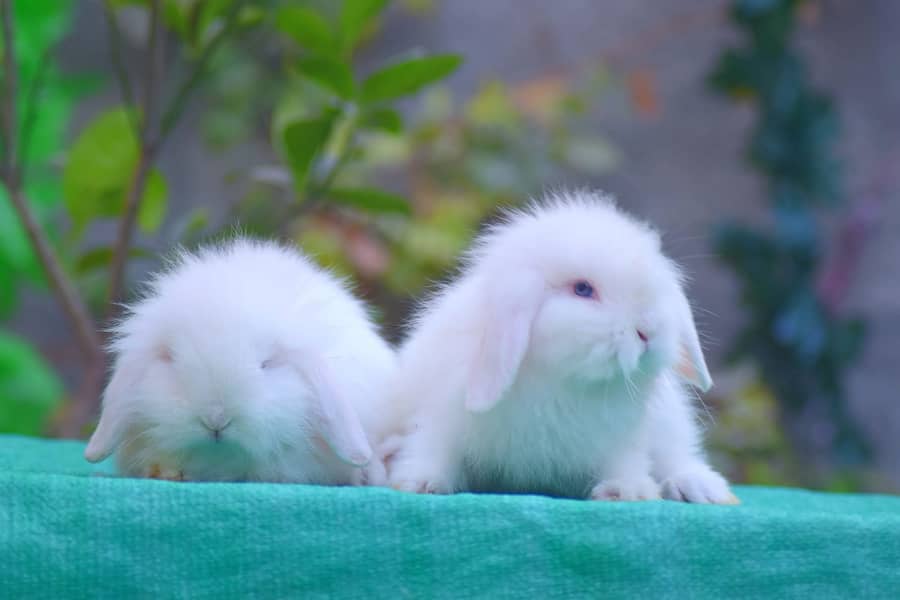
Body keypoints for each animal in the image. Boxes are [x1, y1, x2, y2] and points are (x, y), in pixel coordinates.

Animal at [387, 190, 738, 503]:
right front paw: (421, 482)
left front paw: (626, 490)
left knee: (679, 457)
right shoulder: (440, 418)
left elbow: (626, 462)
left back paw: (699, 488)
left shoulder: (623, 440)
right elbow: (433, 448)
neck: (563, 380)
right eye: (582, 289)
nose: (649, 331)